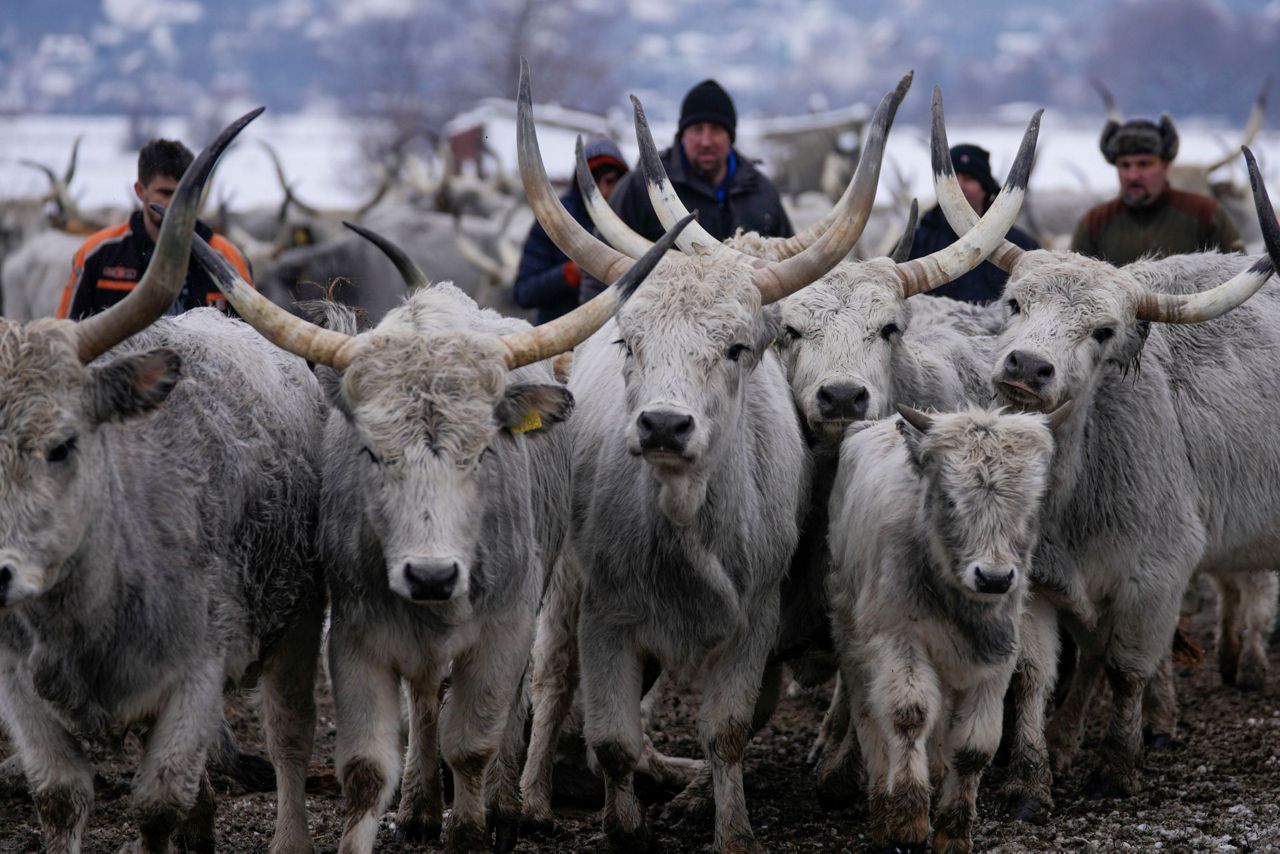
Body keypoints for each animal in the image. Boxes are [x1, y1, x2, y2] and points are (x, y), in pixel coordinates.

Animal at [0, 110, 327, 854]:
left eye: (63, 444)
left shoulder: (196, 675)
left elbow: (157, 804)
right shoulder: (21, 690)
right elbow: (61, 799)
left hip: (299, 619)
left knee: (290, 736)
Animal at [194, 148, 691, 853]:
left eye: (483, 450)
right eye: (373, 453)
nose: (431, 575)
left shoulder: (504, 630)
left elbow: (474, 743)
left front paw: (475, 824)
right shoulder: (357, 639)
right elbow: (368, 763)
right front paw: (406, 808)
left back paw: (505, 804)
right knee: (425, 700)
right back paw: (421, 805)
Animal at [827, 403, 1063, 852]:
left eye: (1032, 501)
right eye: (951, 499)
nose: (994, 578)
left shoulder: (995, 659)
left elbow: (974, 747)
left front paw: (953, 831)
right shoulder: (897, 639)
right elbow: (908, 714)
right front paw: (908, 820)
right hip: (851, 639)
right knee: (868, 715)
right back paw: (881, 809)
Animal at [929, 85, 1280, 814]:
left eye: (1102, 331)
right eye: (1015, 302)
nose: (1027, 366)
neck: (1075, 487)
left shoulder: (1157, 579)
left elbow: (1128, 670)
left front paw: (1118, 767)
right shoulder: (1033, 582)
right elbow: (1034, 675)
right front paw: (1030, 778)